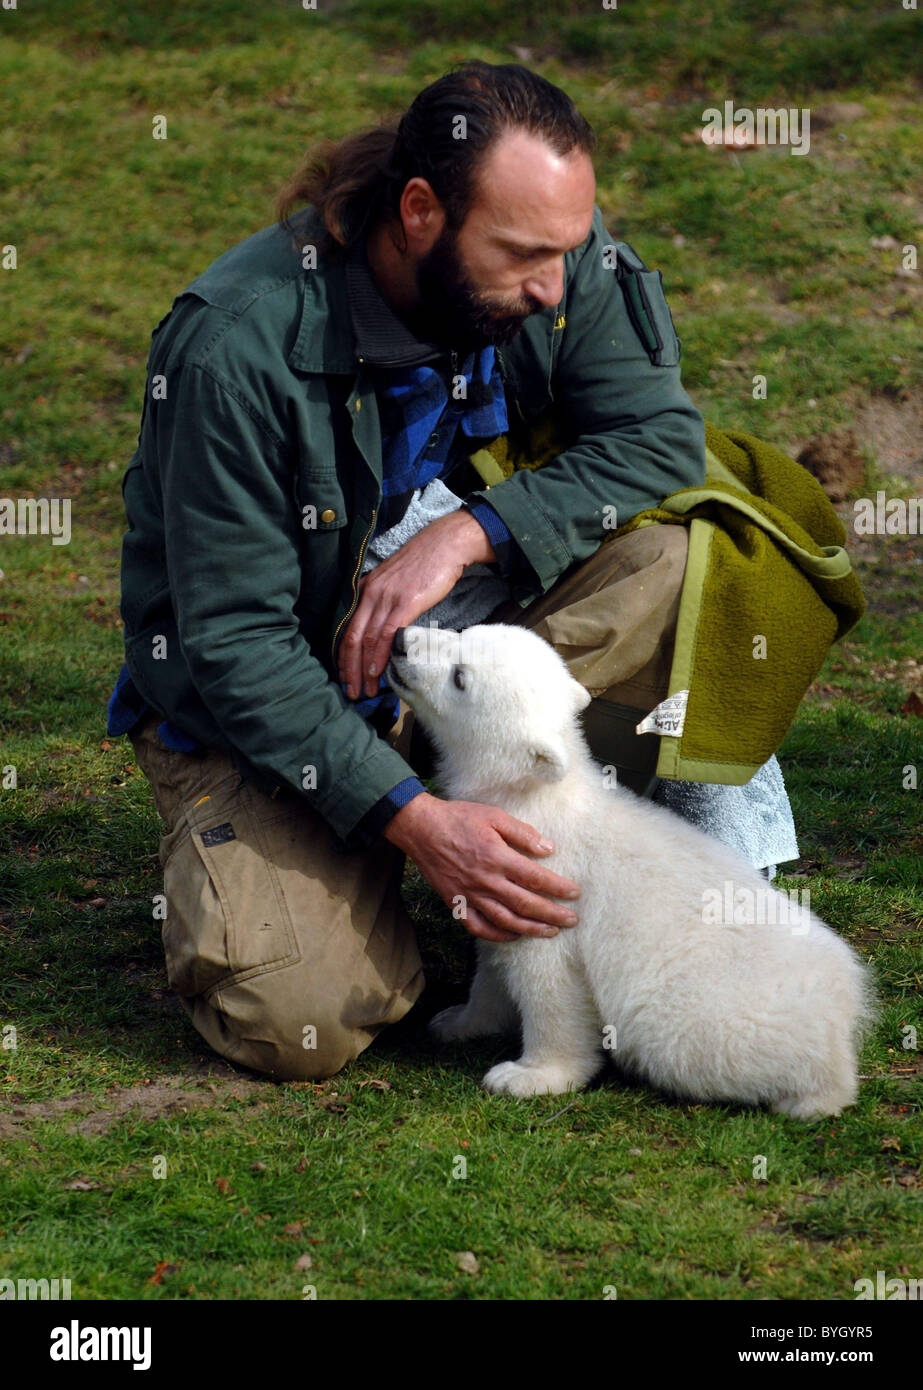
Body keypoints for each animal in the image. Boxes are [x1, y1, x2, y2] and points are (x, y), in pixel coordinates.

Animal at [385, 622, 876, 1118]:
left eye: (460, 677)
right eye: (461, 632)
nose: (400, 639)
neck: (530, 796)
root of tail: (846, 1000)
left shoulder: (549, 886)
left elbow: (551, 986)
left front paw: (528, 1076)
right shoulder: (498, 873)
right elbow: (493, 957)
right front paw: (457, 1022)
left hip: (702, 1015)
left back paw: (814, 1095)